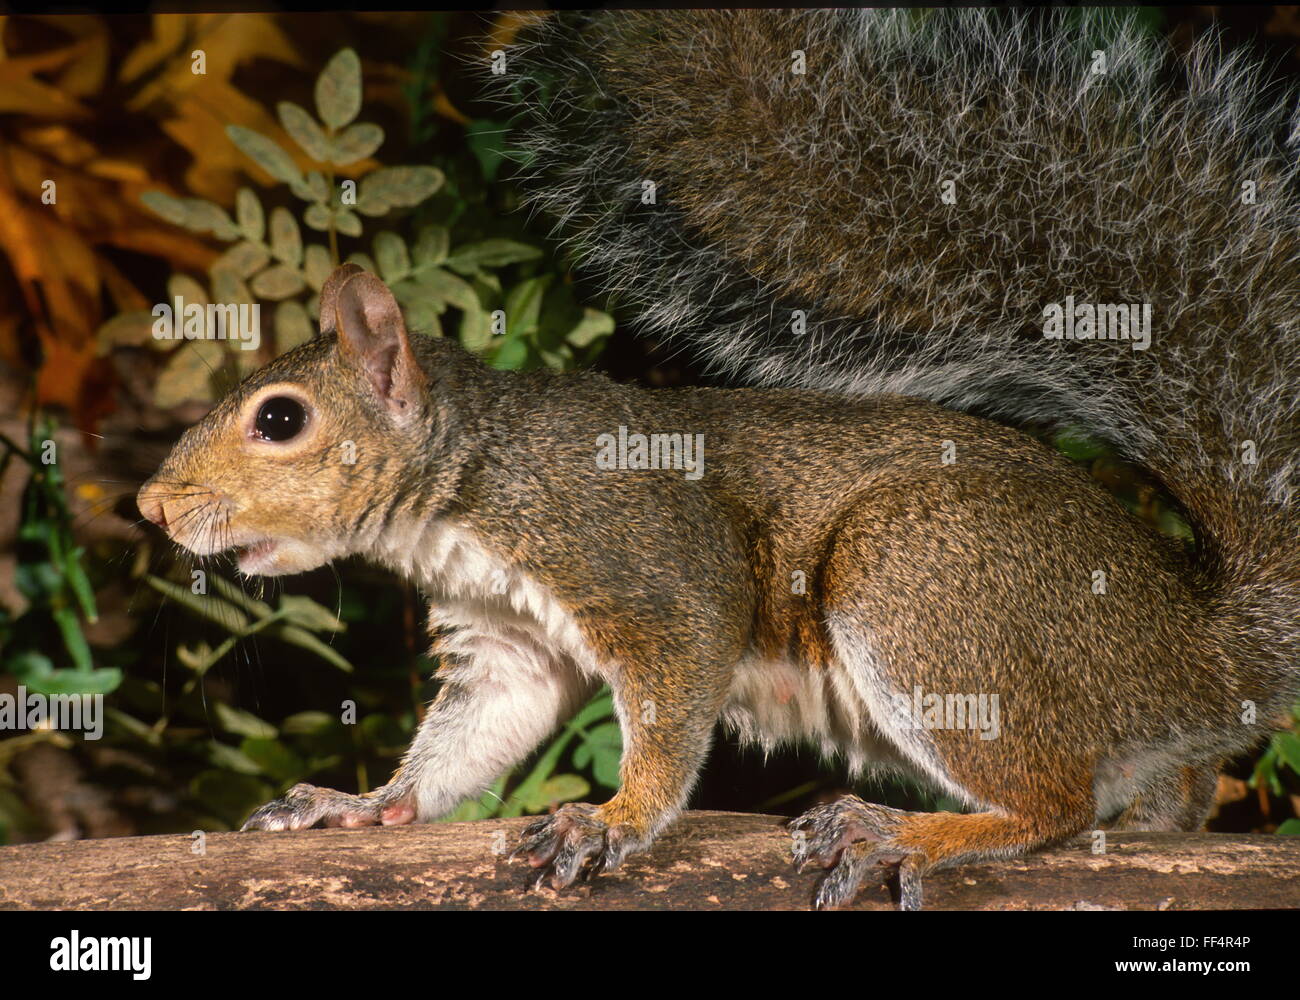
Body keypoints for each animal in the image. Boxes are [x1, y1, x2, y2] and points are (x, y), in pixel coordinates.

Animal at [136, 9, 1299, 910]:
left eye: (280, 419)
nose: (153, 504)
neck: (473, 486)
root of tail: (1203, 648)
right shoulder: (506, 642)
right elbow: (473, 736)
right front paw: (361, 806)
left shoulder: (642, 563)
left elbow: (671, 699)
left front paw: (612, 820)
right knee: (1156, 802)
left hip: (915, 577)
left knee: (1053, 802)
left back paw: (903, 834)